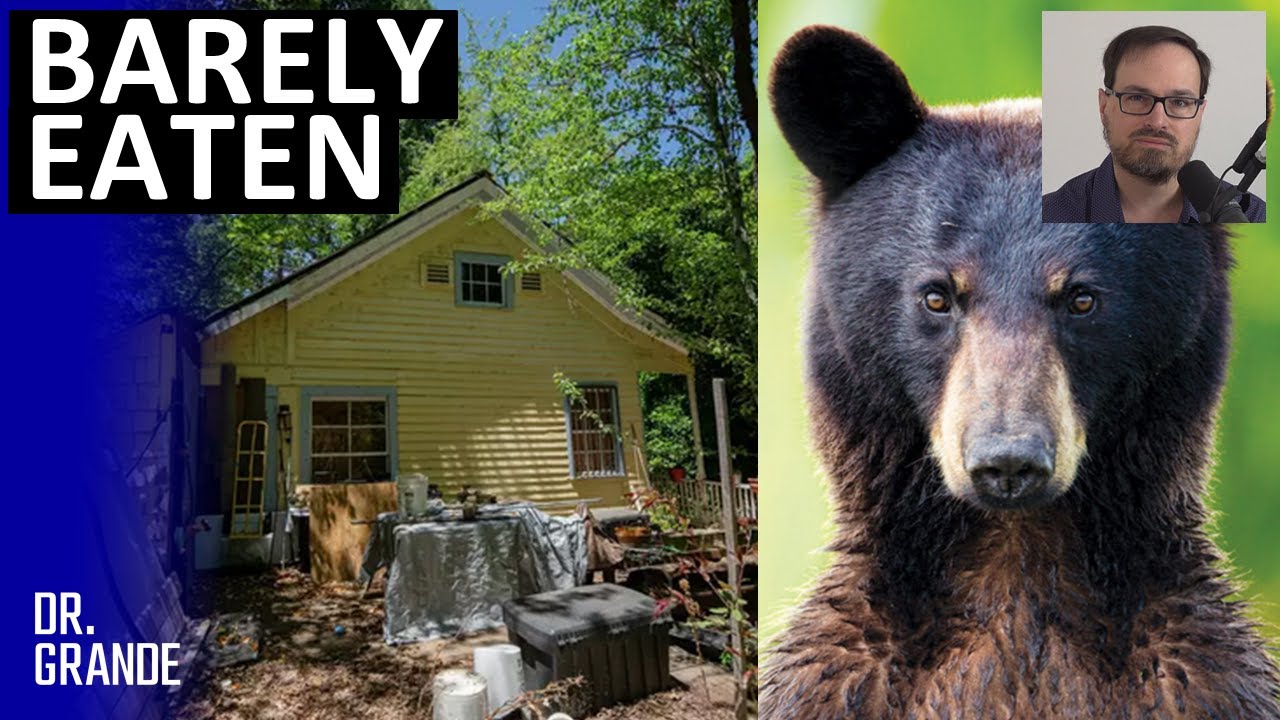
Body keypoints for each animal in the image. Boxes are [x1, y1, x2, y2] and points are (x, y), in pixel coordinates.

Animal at [763, 25, 1280, 720]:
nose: (1008, 460)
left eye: (1082, 298)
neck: (1016, 565)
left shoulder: (1207, 680)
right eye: (937, 295)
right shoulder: (829, 682)